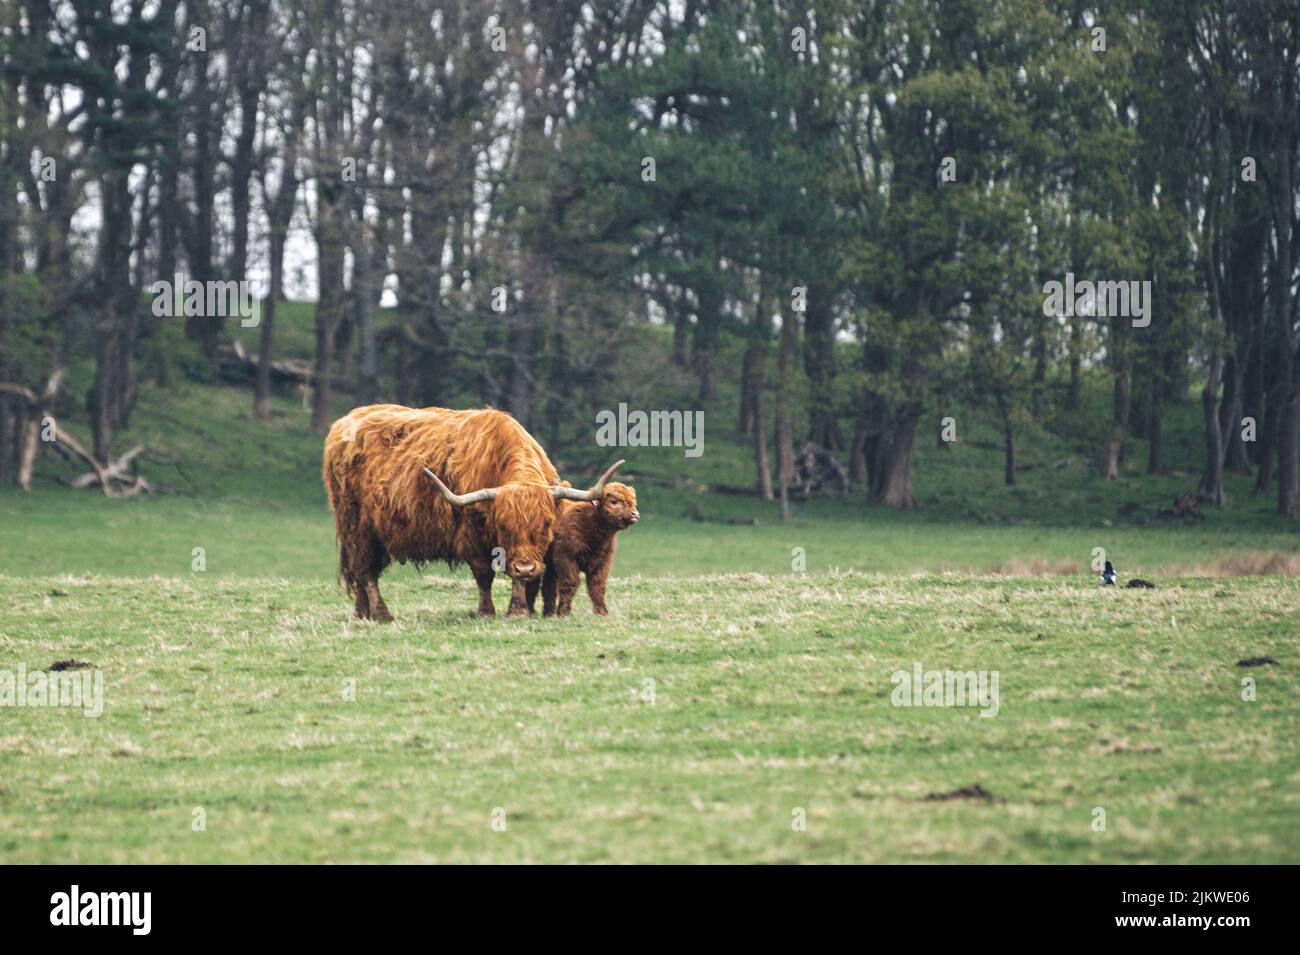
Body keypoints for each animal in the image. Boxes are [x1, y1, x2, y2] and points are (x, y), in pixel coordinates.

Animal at [322, 404, 622, 619]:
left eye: (544, 526)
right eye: (504, 527)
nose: (526, 566)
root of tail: (344, 422)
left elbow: (520, 579)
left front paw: (518, 610)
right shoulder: (472, 535)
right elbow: (484, 575)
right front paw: (488, 611)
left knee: (363, 573)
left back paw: (362, 613)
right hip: (357, 528)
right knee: (366, 571)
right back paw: (382, 614)